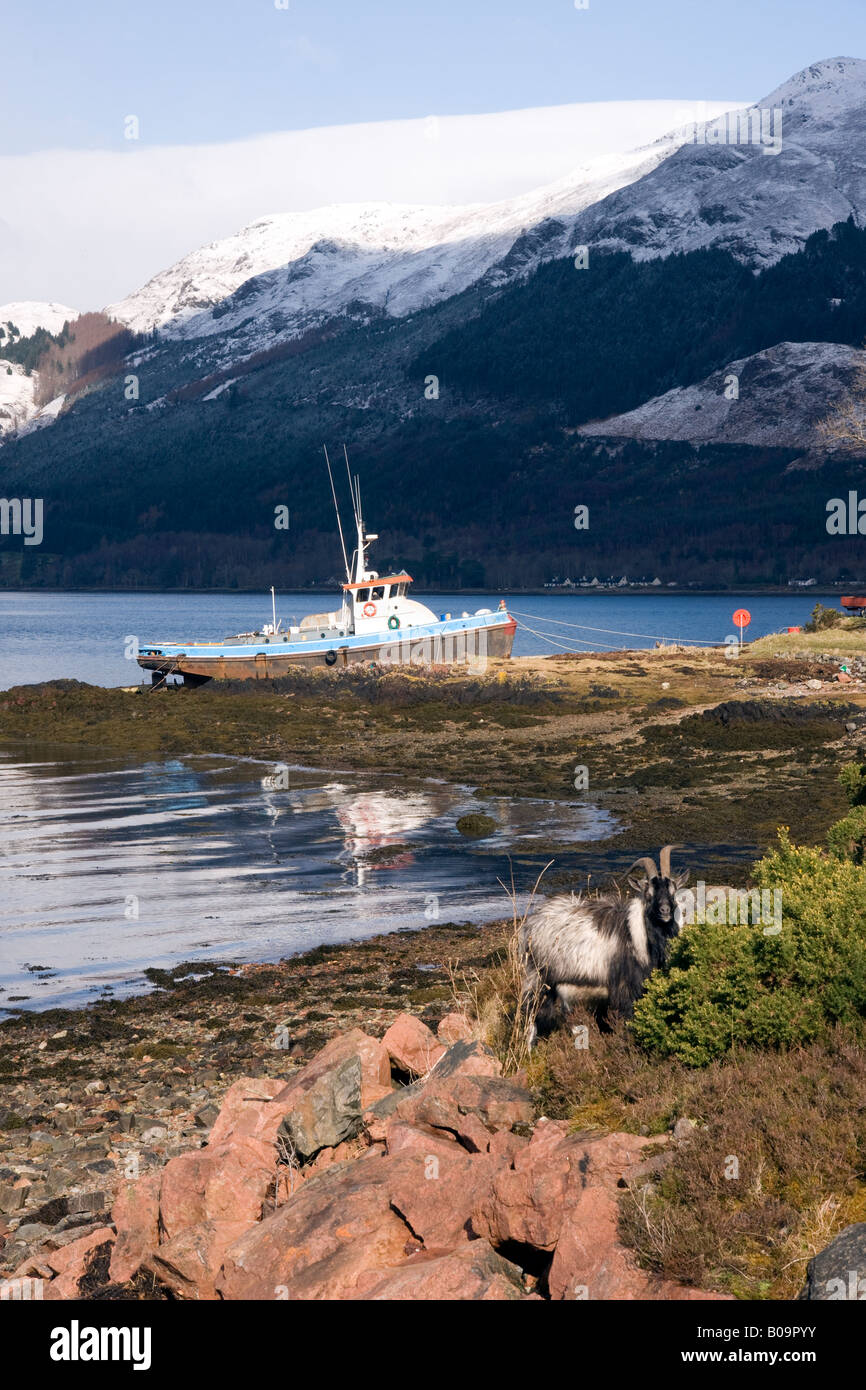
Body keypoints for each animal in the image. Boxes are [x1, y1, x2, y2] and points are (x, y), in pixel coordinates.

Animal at [519, 846, 689, 1044]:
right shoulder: (624, 991)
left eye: (673, 891)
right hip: (536, 978)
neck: (637, 936)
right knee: (530, 1013)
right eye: (649, 894)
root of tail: (530, 925)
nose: (665, 911)